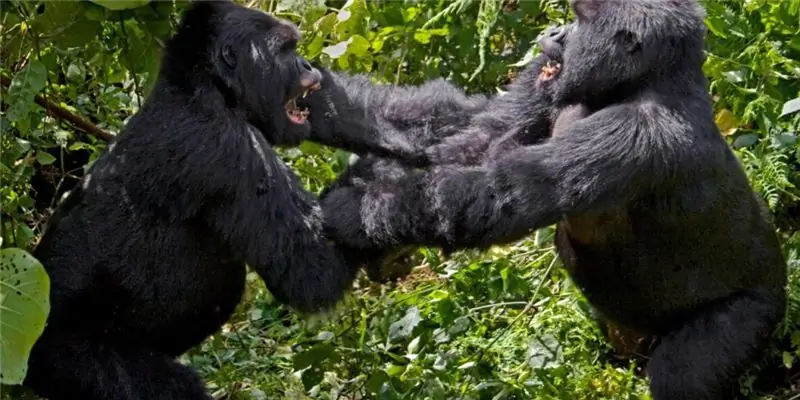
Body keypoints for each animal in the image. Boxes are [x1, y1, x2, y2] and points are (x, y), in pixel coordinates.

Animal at [24, 1, 360, 398]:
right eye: (285, 49)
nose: (308, 66)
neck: (204, 85)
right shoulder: (229, 144)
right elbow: (313, 270)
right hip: (67, 358)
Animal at [310, 1, 788, 398]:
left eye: (578, 21)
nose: (555, 32)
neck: (646, 81)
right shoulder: (548, 81)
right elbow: (473, 128)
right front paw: (317, 100)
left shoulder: (639, 134)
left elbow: (495, 193)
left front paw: (353, 214)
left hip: (756, 309)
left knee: (687, 373)